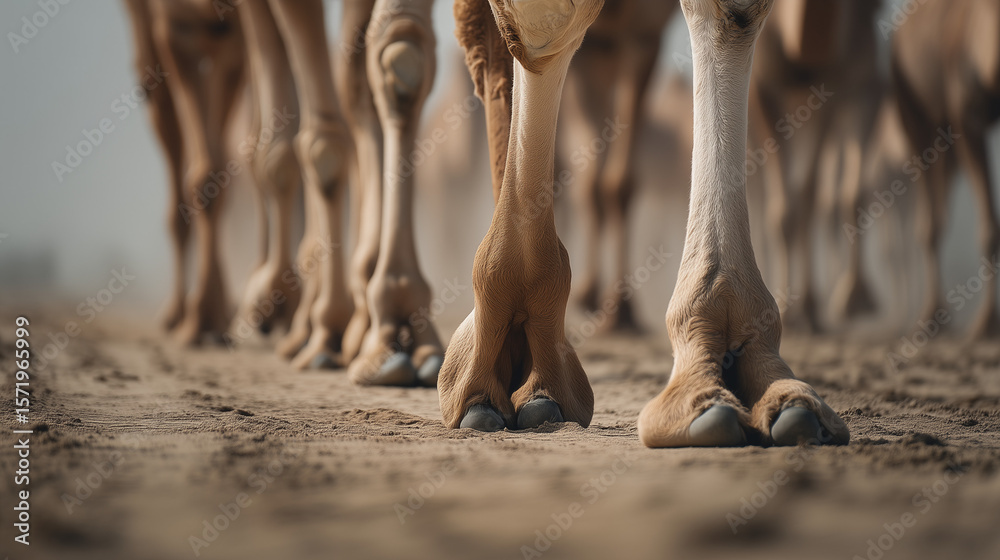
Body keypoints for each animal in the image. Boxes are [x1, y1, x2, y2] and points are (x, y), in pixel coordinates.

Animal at [892, 0, 1000, 337]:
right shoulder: (965, 114)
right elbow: (989, 228)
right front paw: (985, 324)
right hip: (912, 111)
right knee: (930, 220)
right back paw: (930, 317)